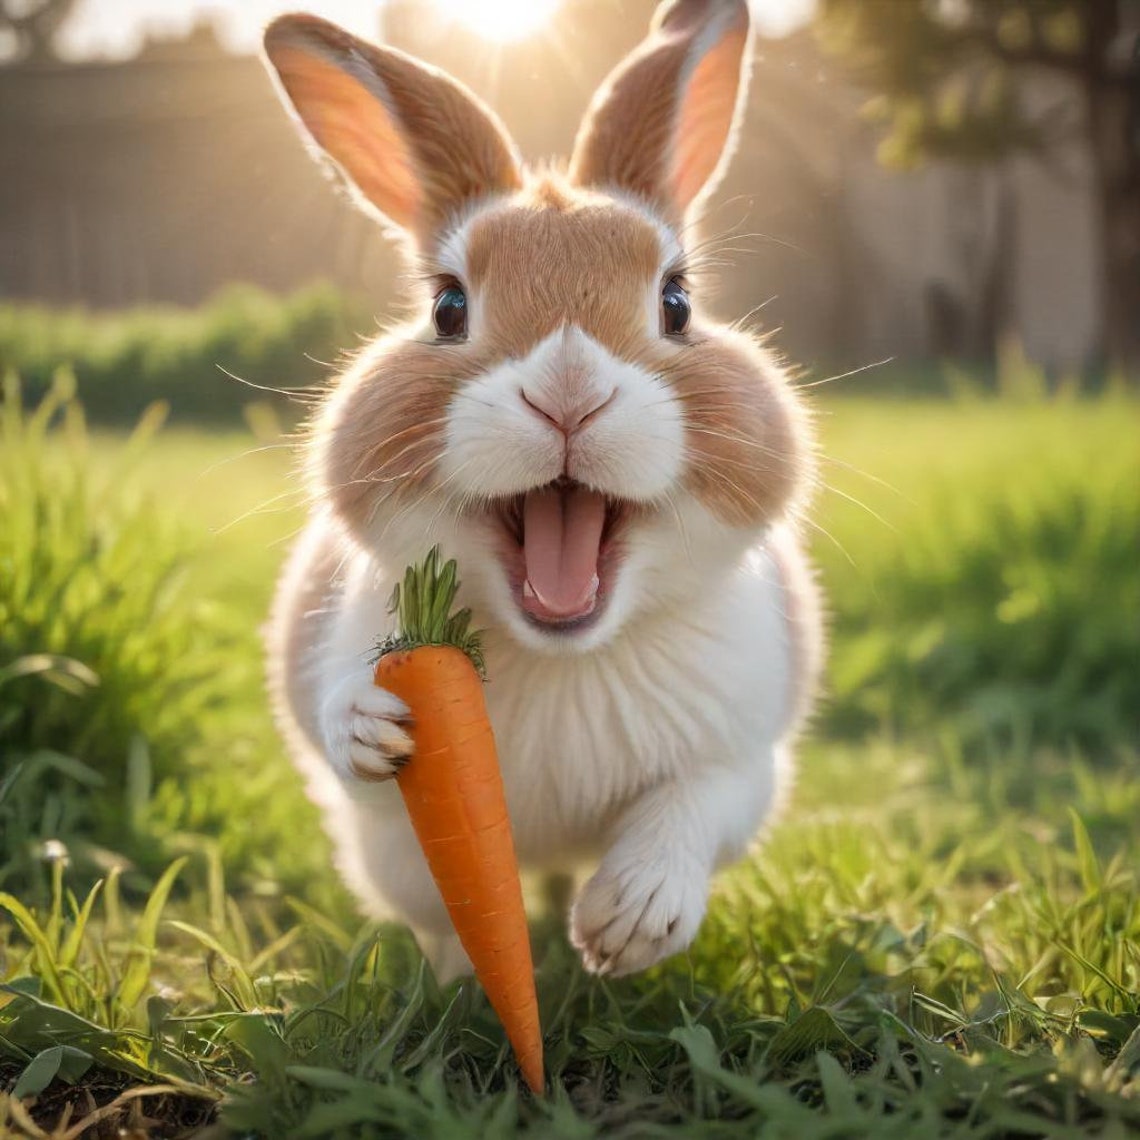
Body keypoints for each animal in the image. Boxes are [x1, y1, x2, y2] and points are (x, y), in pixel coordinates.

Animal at [261, 0, 823, 983]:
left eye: (678, 302)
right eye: (448, 307)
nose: (569, 389)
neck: (568, 652)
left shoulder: (745, 757)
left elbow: (696, 804)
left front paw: (628, 923)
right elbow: (345, 723)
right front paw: (374, 725)